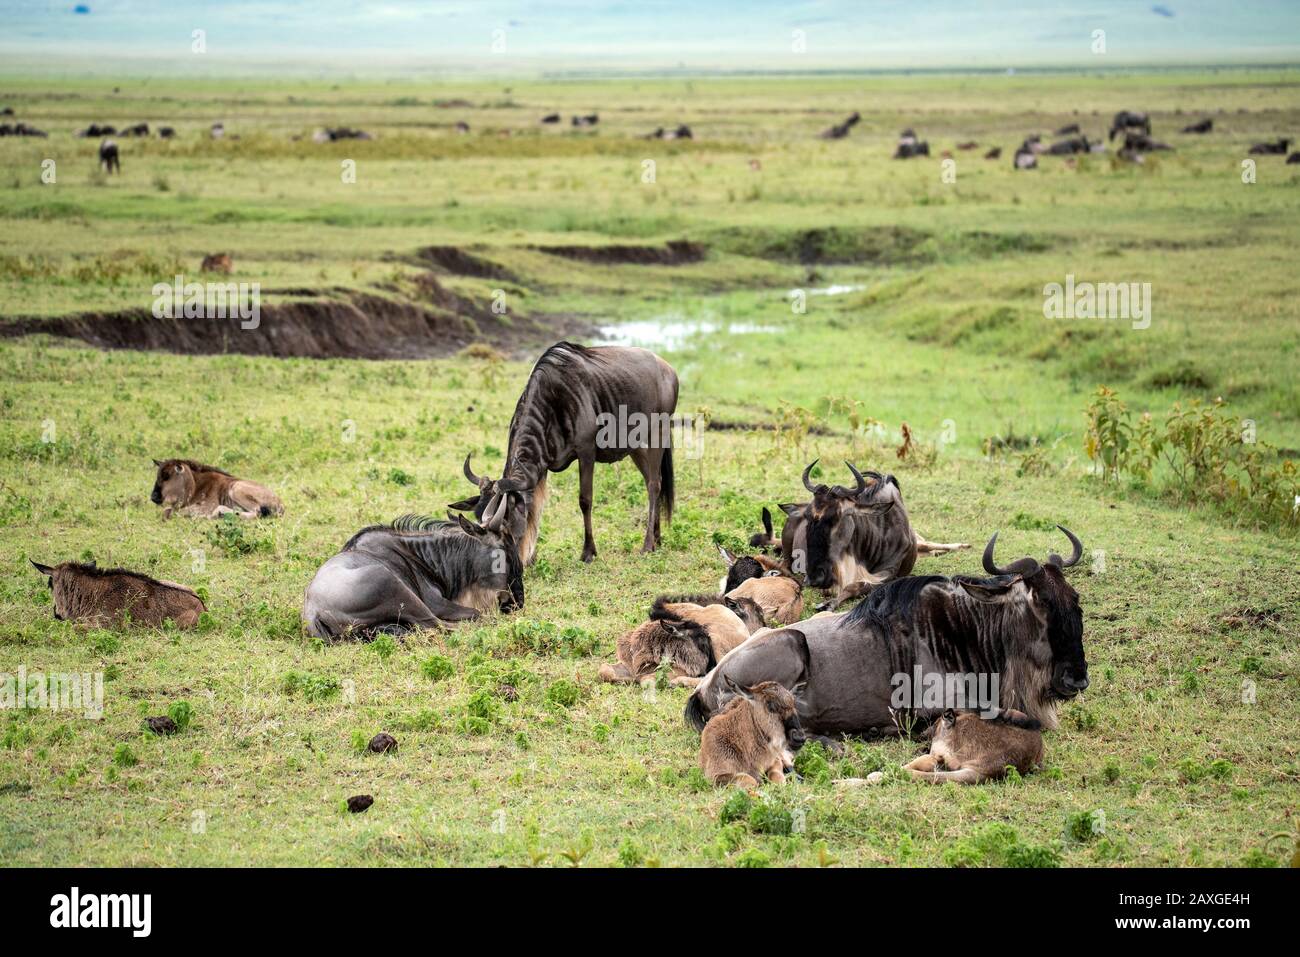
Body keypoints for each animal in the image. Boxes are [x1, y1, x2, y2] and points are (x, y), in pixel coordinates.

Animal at [302, 513, 523, 639]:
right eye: (504, 552)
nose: (516, 603)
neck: (421, 556)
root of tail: (313, 613)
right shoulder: (437, 604)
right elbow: (475, 613)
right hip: (395, 587)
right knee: (438, 625)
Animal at [449, 341, 678, 564]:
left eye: (504, 521)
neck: (551, 401)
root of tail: (669, 369)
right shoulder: (539, 466)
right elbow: (537, 508)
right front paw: (532, 558)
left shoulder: (586, 453)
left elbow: (585, 500)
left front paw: (588, 552)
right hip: (636, 447)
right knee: (652, 480)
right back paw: (657, 538)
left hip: (658, 434)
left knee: (654, 485)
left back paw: (647, 546)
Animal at [685, 526, 1088, 741]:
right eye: (1037, 602)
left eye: (1075, 600)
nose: (1076, 678)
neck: (961, 633)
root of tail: (707, 684)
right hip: (790, 642)